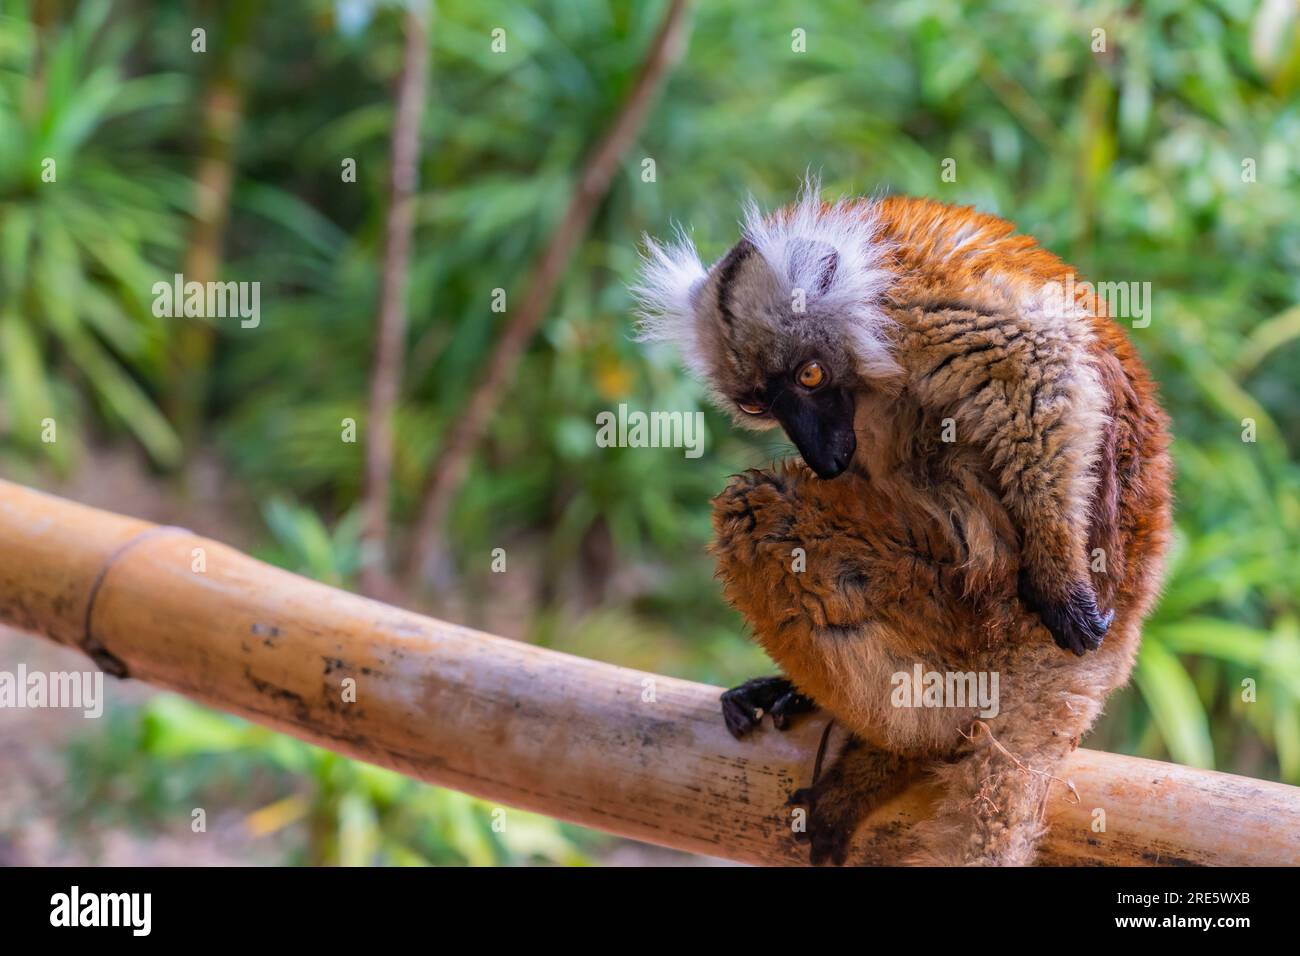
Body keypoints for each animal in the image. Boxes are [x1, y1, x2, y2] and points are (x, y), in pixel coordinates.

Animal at [633, 183, 1172, 865]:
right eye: (759, 403)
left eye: (810, 375)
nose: (825, 458)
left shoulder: (920, 311)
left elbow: (1036, 357)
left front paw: (1060, 578)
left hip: (975, 610)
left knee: (757, 507)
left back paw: (904, 754)